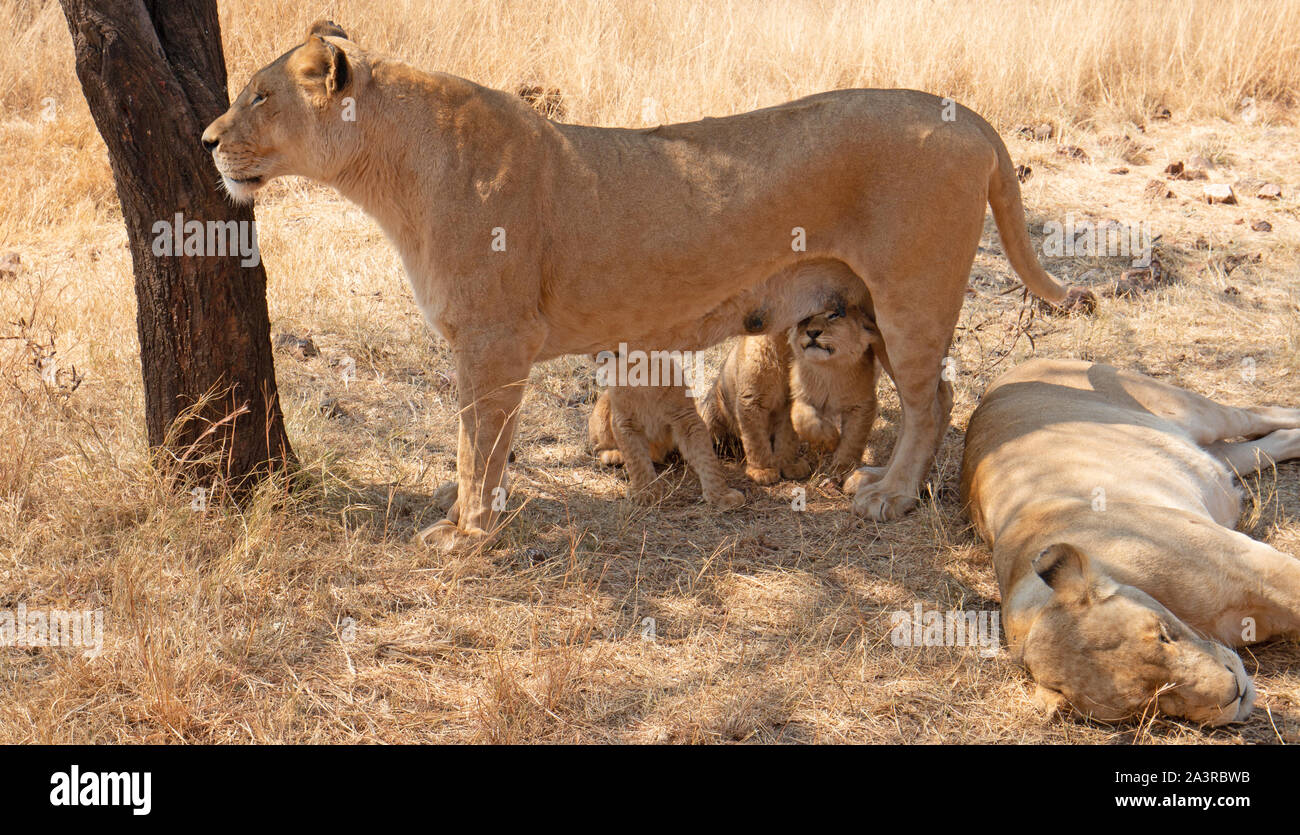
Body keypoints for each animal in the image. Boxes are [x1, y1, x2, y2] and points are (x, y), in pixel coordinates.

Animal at [202, 20, 1090, 551]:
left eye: (260, 95)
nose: (208, 140)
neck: (389, 169)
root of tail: (968, 118)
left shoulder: (493, 340)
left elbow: (474, 446)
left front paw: (466, 535)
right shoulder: (489, 346)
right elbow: (480, 445)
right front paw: (465, 524)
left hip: (911, 293)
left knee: (931, 397)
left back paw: (888, 497)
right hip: (874, 298)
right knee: (931, 394)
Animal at [961, 358, 1300, 726]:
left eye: (1164, 635)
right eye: (1153, 702)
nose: (1235, 693)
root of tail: (1010, 374)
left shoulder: (1257, 564)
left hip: (1190, 409)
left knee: (1259, 413)